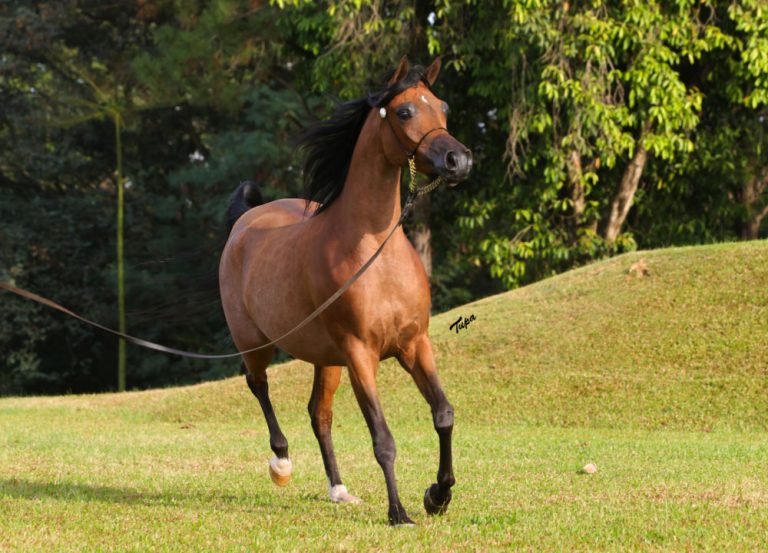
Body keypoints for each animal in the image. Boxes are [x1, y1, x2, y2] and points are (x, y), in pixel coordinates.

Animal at [219, 56, 472, 525]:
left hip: (326, 359)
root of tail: (245, 221)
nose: (458, 160)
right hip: (256, 343)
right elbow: (383, 438)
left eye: (443, 107)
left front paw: (438, 495)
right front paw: (399, 513)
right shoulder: (360, 354)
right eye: (405, 111)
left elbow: (443, 414)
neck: (373, 250)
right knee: (257, 384)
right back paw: (281, 462)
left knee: (319, 414)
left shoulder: (415, 344)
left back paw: (339, 490)